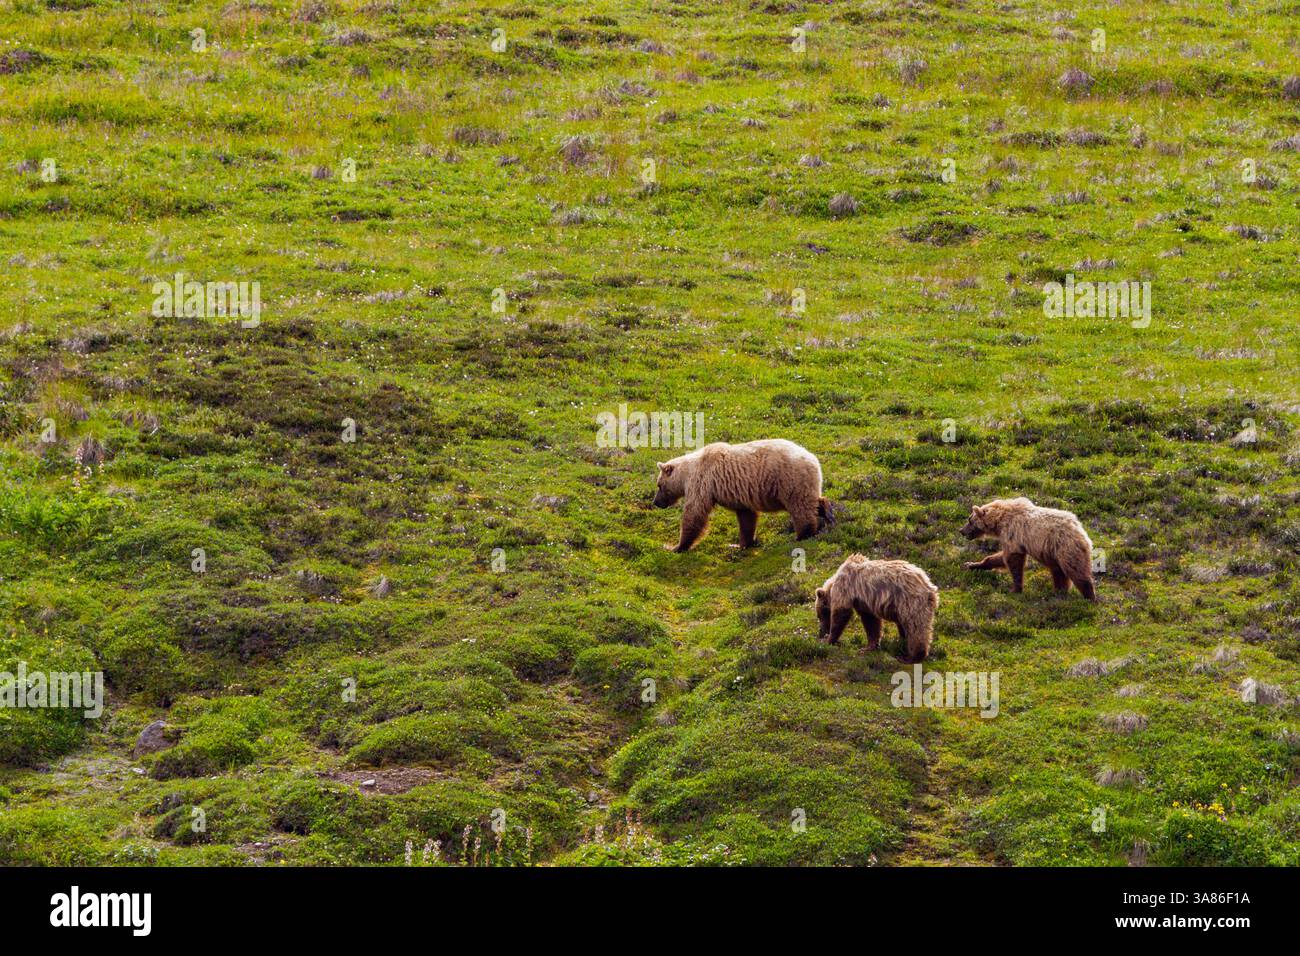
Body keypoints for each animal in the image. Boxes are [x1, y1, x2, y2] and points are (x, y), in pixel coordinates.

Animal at [653, 439, 832, 552]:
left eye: (659, 485)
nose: (656, 502)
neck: (687, 474)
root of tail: (813, 459)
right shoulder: (741, 495)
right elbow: (746, 517)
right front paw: (740, 544)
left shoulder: (702, 483)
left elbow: (694, 513)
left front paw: (676, 546)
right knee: (812, 501)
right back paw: (828, 513)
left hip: (789, 480)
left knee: (800, 508)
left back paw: (802, 535)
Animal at [960, 497, 1096, 600]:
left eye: (969, 520)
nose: (961, 531)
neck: (999, 520)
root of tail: (1081, 530)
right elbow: (999, 558)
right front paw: (971, 564)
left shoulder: (1012, 533)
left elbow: (1013, 560)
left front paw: (1015, 589)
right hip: (1054, 554)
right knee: (1058, 572)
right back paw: (1058, 591)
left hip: (1066, 548)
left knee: (1076, 571)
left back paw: (1089, 597)